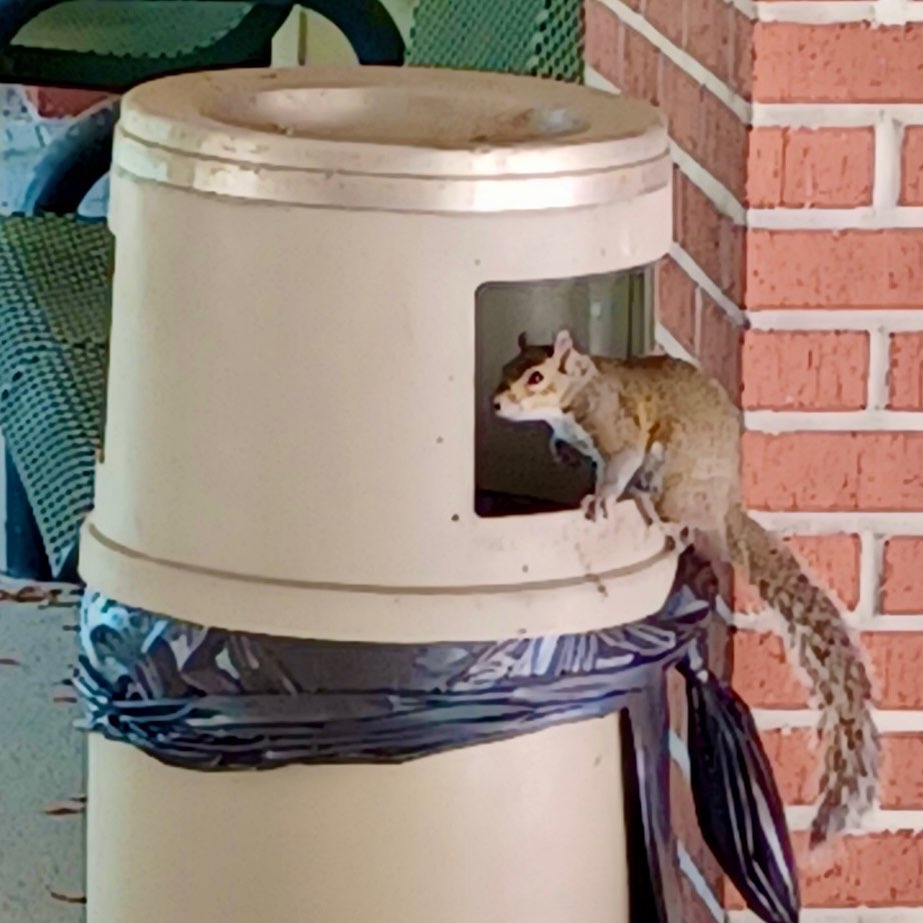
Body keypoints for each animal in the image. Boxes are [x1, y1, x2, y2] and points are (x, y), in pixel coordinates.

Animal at [492, 328, 879, 848]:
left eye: (535, 377)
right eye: (506, 367)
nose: (496, 403)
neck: (579, 388)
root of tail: (724, 509)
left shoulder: (616, 425)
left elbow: (620, 461)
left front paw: (601, 498)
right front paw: (564, 450)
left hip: (673, 481)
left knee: (680, 520)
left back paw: (659, 519)